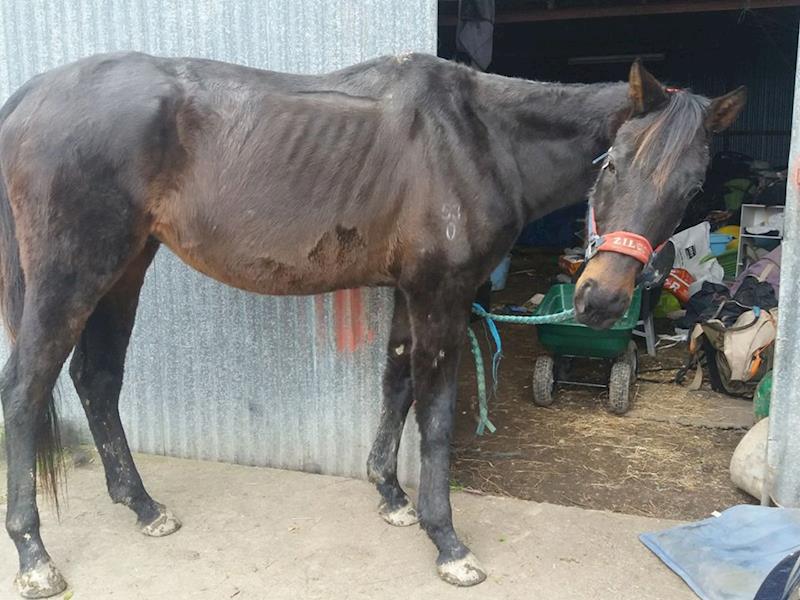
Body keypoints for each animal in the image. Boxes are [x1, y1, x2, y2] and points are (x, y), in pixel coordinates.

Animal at [0, 51, 744, 597]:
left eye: (691, 187)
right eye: (614, 163)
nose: (599, 303)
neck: (478, 138)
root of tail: (31, 97)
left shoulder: (407, 292)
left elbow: (395, 383)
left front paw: (389, 494)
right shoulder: (443, 295)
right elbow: (436, 412)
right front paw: (447, 541)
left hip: (125, 267)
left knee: (96, 379)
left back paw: (144, 508)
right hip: (73, 273)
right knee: (26, 389)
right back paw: (35, 556)